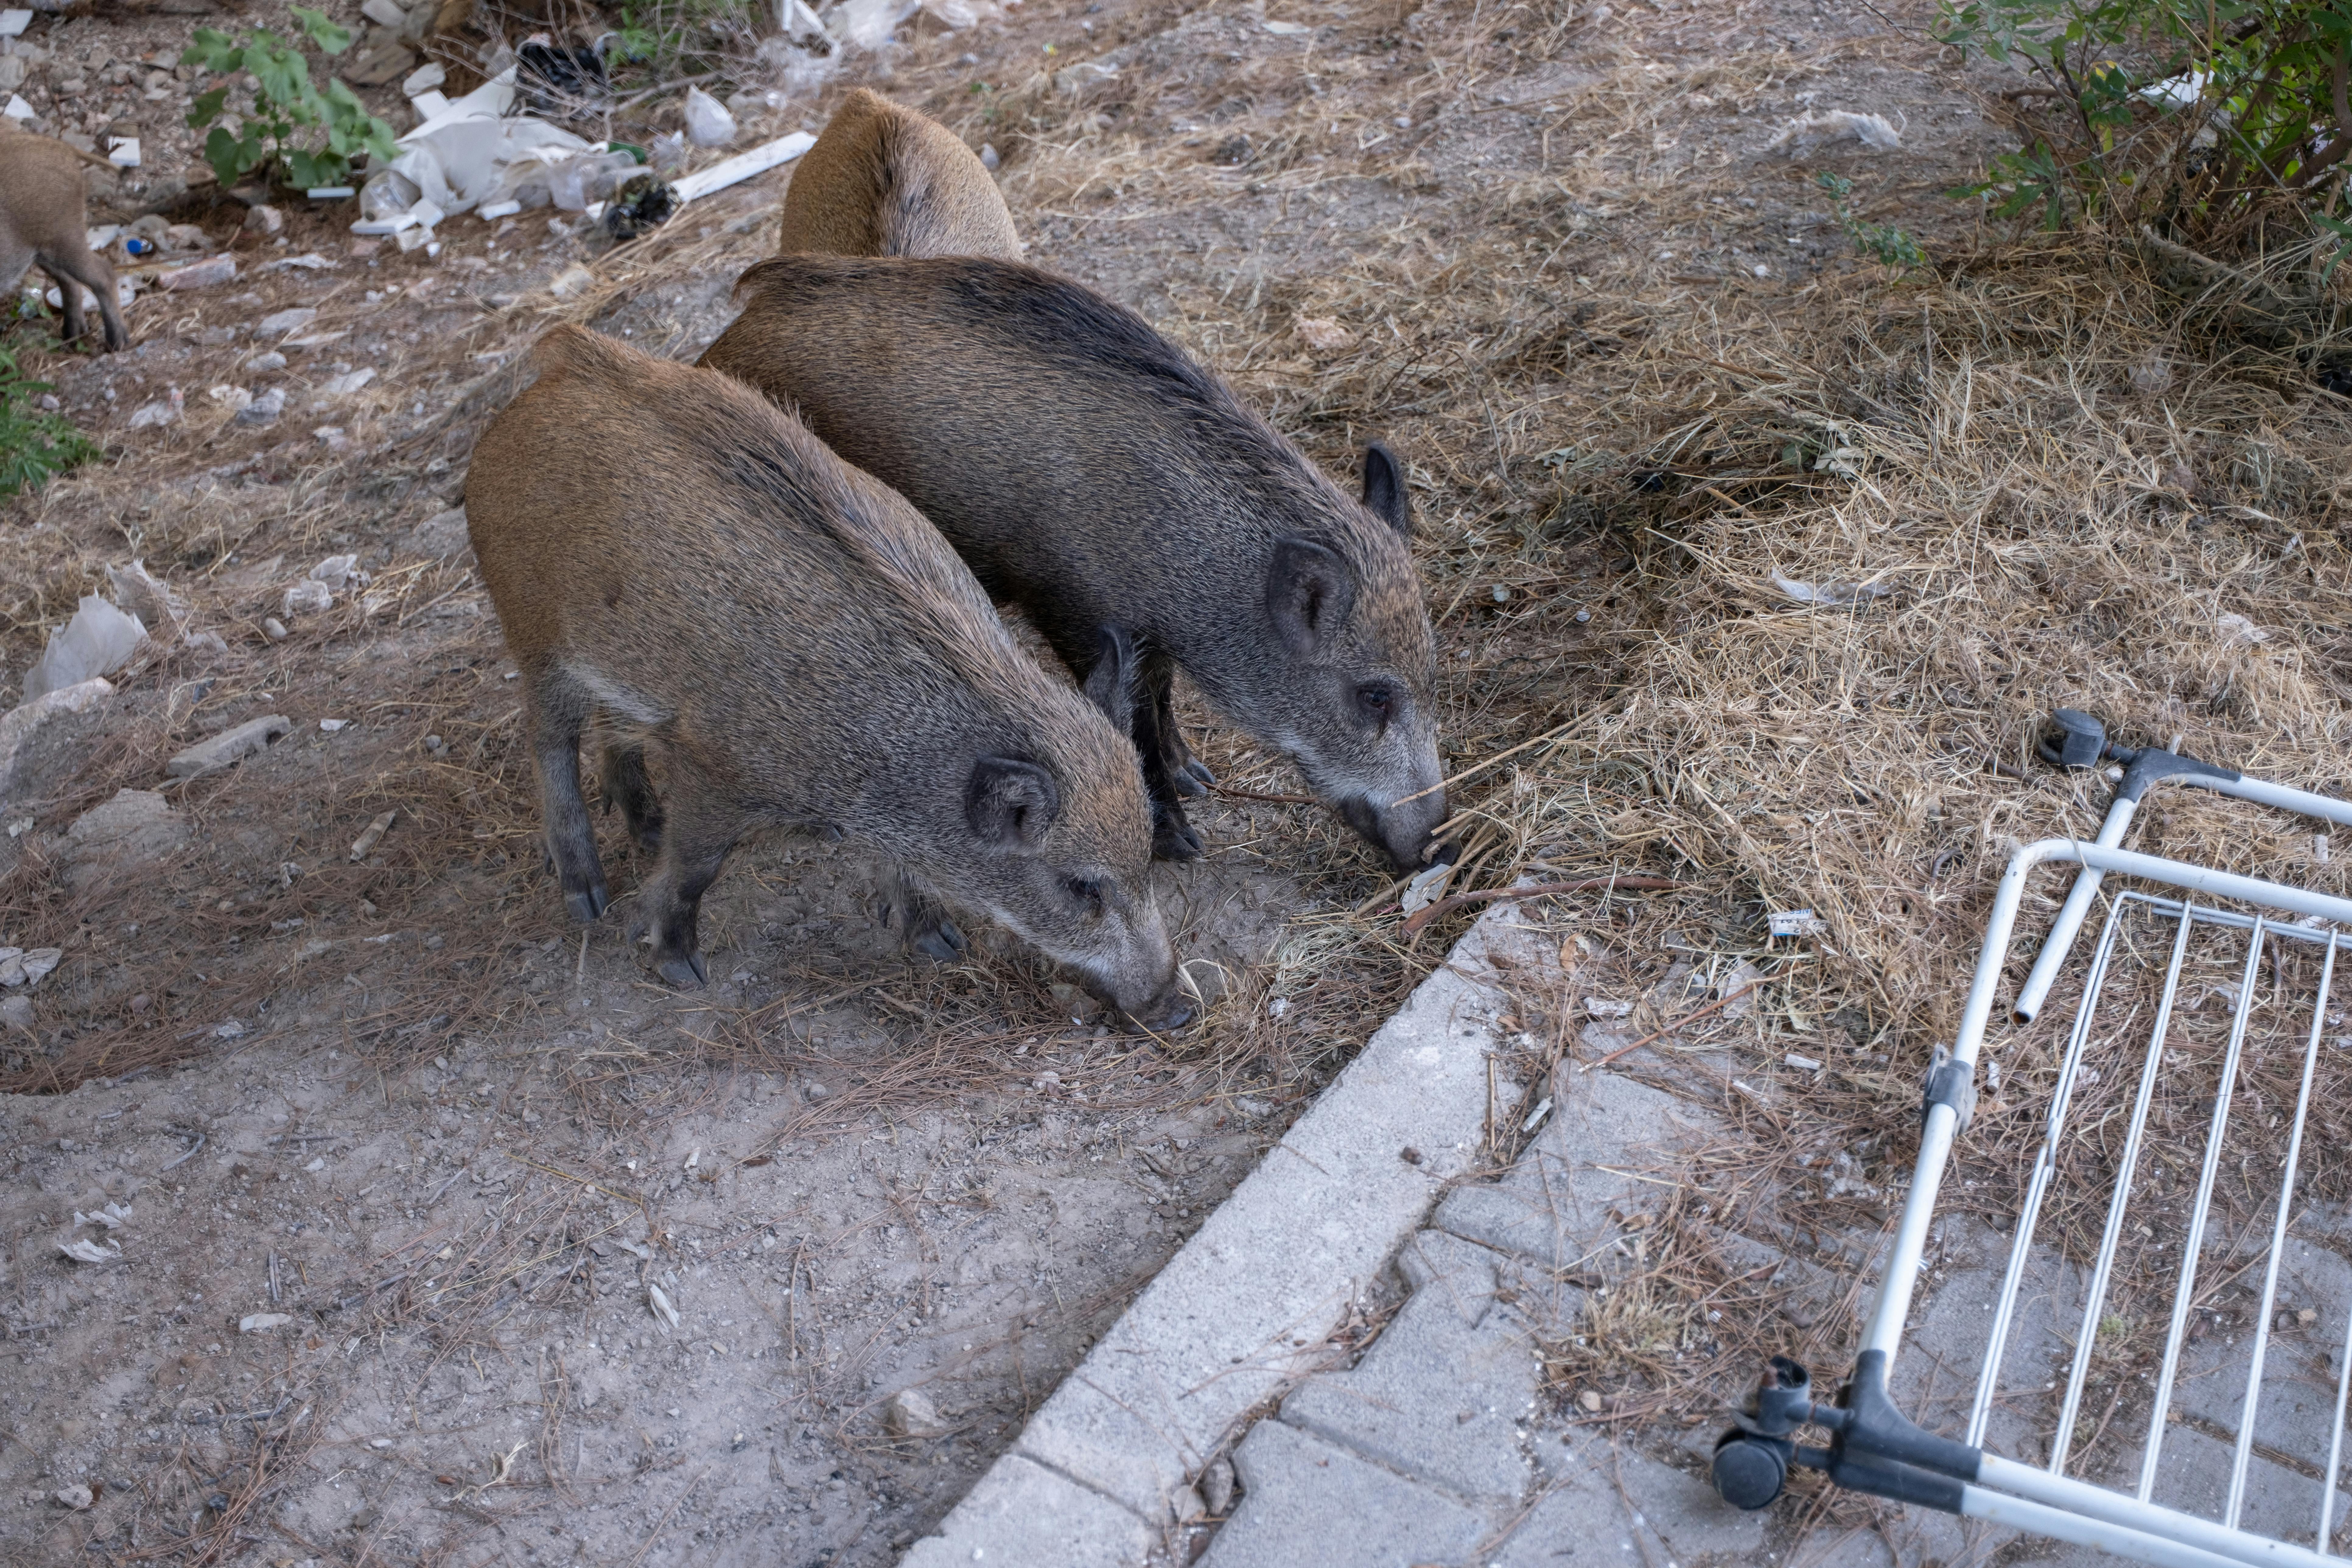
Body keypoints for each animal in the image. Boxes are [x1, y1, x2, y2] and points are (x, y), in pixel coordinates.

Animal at [0, 130, 129, 353]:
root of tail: (65, 149)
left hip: (66, 238)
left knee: (103, 274)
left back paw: (117, 344)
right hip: (45, 252)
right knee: (70, 282)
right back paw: (72, 338)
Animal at [467, 324, 1188, 1028]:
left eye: (1146, 858)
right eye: (1081, 886)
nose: (1178, 1009)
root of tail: (557, 369)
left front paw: (937, 943)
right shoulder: (716, 768)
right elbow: (697, 867)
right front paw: (678, 968)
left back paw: (645, 829)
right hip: (534, 635)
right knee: (549, 741)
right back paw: (585, 896)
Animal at [699, 257, 1447, 870]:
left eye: (1431, 673)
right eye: (1374, 695)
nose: (1443, 847)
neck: (1172, 543)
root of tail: (722, 342)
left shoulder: (1146, 628)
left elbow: (1161, 699)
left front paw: (1196, 776)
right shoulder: (1077, 611)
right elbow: (1134, 723)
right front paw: (1181, 844)